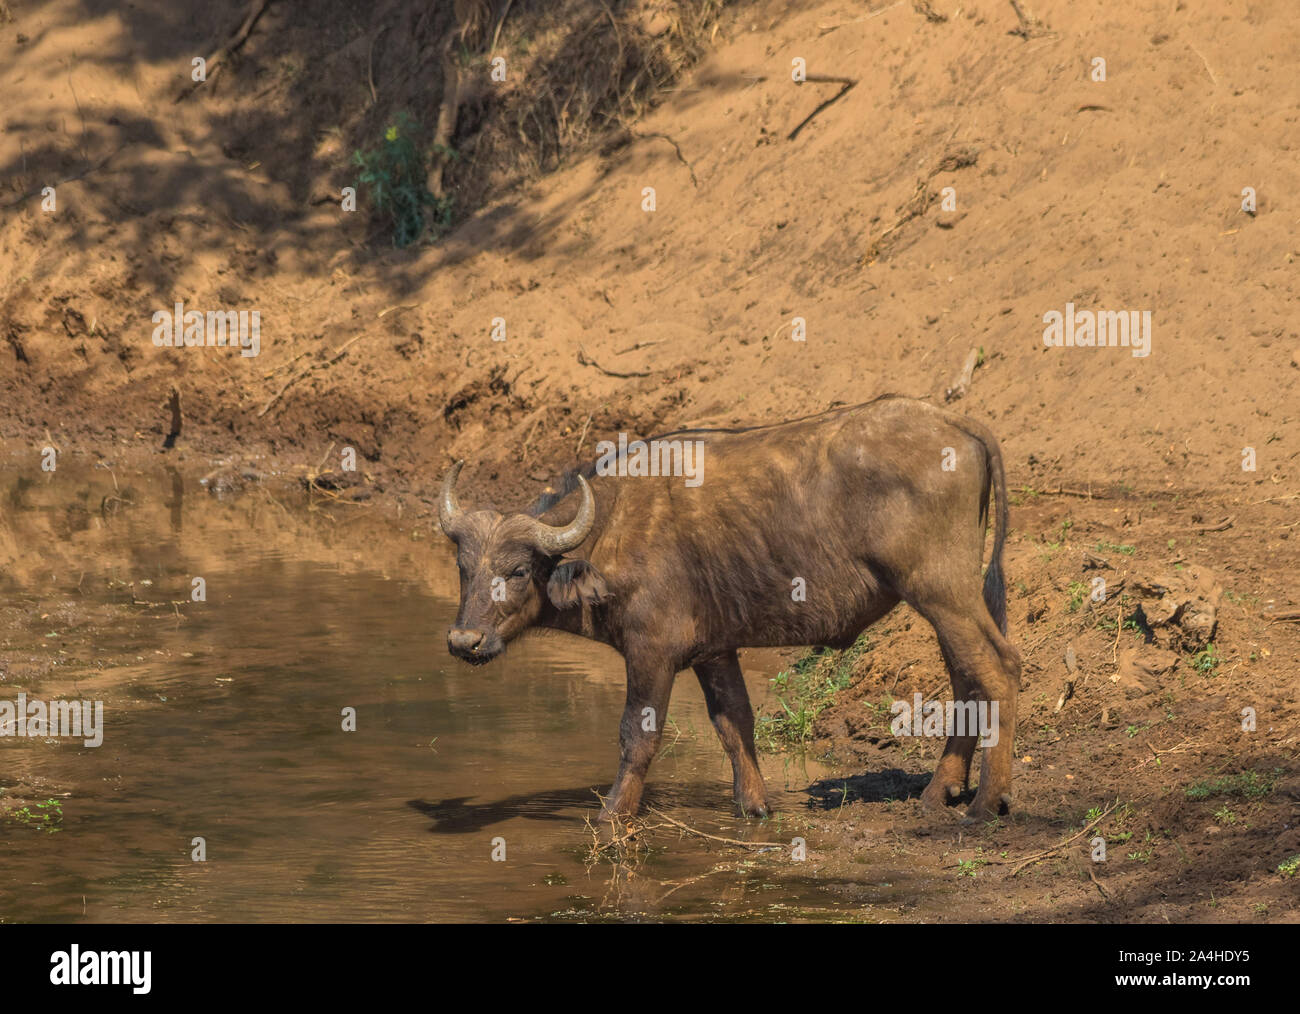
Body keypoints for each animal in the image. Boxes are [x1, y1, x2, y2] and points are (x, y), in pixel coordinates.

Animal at [439, 395, 1021, 822]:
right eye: (464, 568)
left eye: (518, 571)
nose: (464, 642)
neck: (614, 526)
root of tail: (953, 420)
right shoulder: (714, 652)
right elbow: (734, 724)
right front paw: (754, 807)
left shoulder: (652, 652)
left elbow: (637, 735)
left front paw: (611, 817)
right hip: (946, 598)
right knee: (965, 675)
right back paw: (939, 791)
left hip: (941, 590)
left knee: (998, 669)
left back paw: (984, 803)